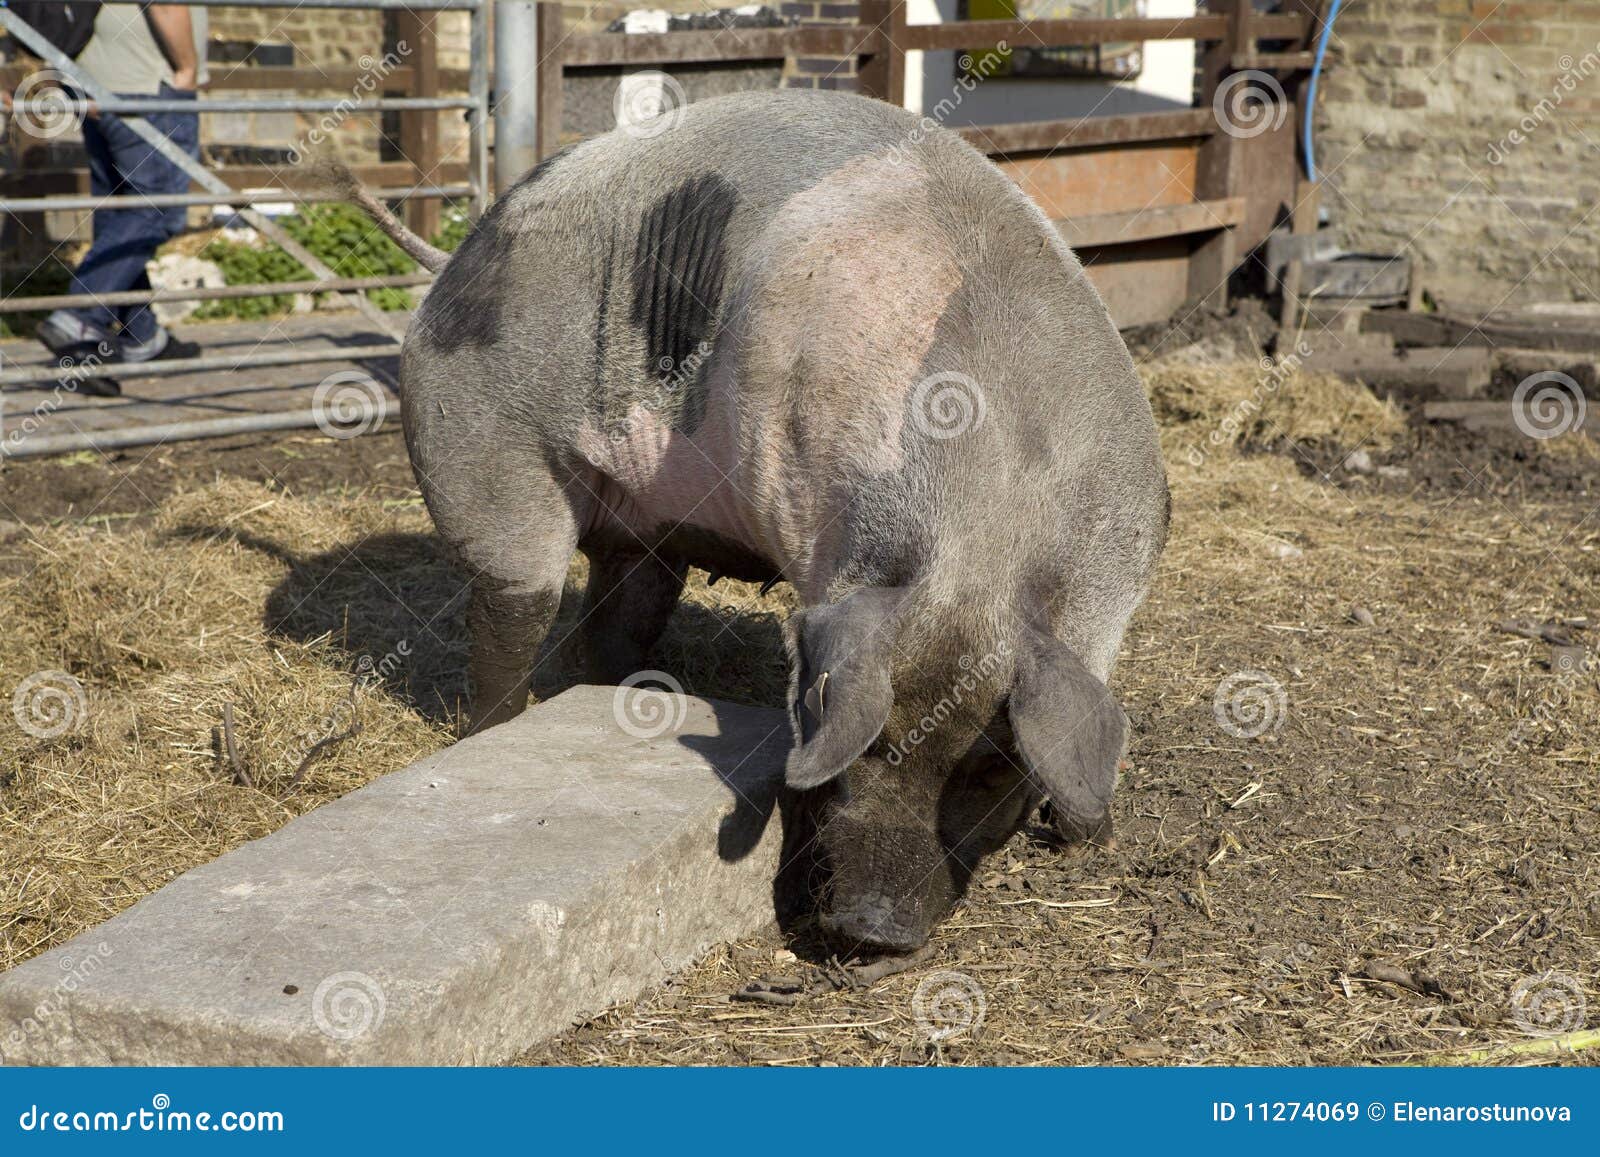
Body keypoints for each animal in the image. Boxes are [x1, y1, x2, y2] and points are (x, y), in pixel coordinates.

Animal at [339, 89, 1168, 953]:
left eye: (992, 767)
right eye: (857, 739)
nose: (871, 927)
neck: (986, 544)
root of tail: (456, 260)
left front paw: (1085, 831)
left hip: (642, 529)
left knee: (617, 622)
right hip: (484, 459)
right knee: (511, 615)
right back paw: (494, 728)